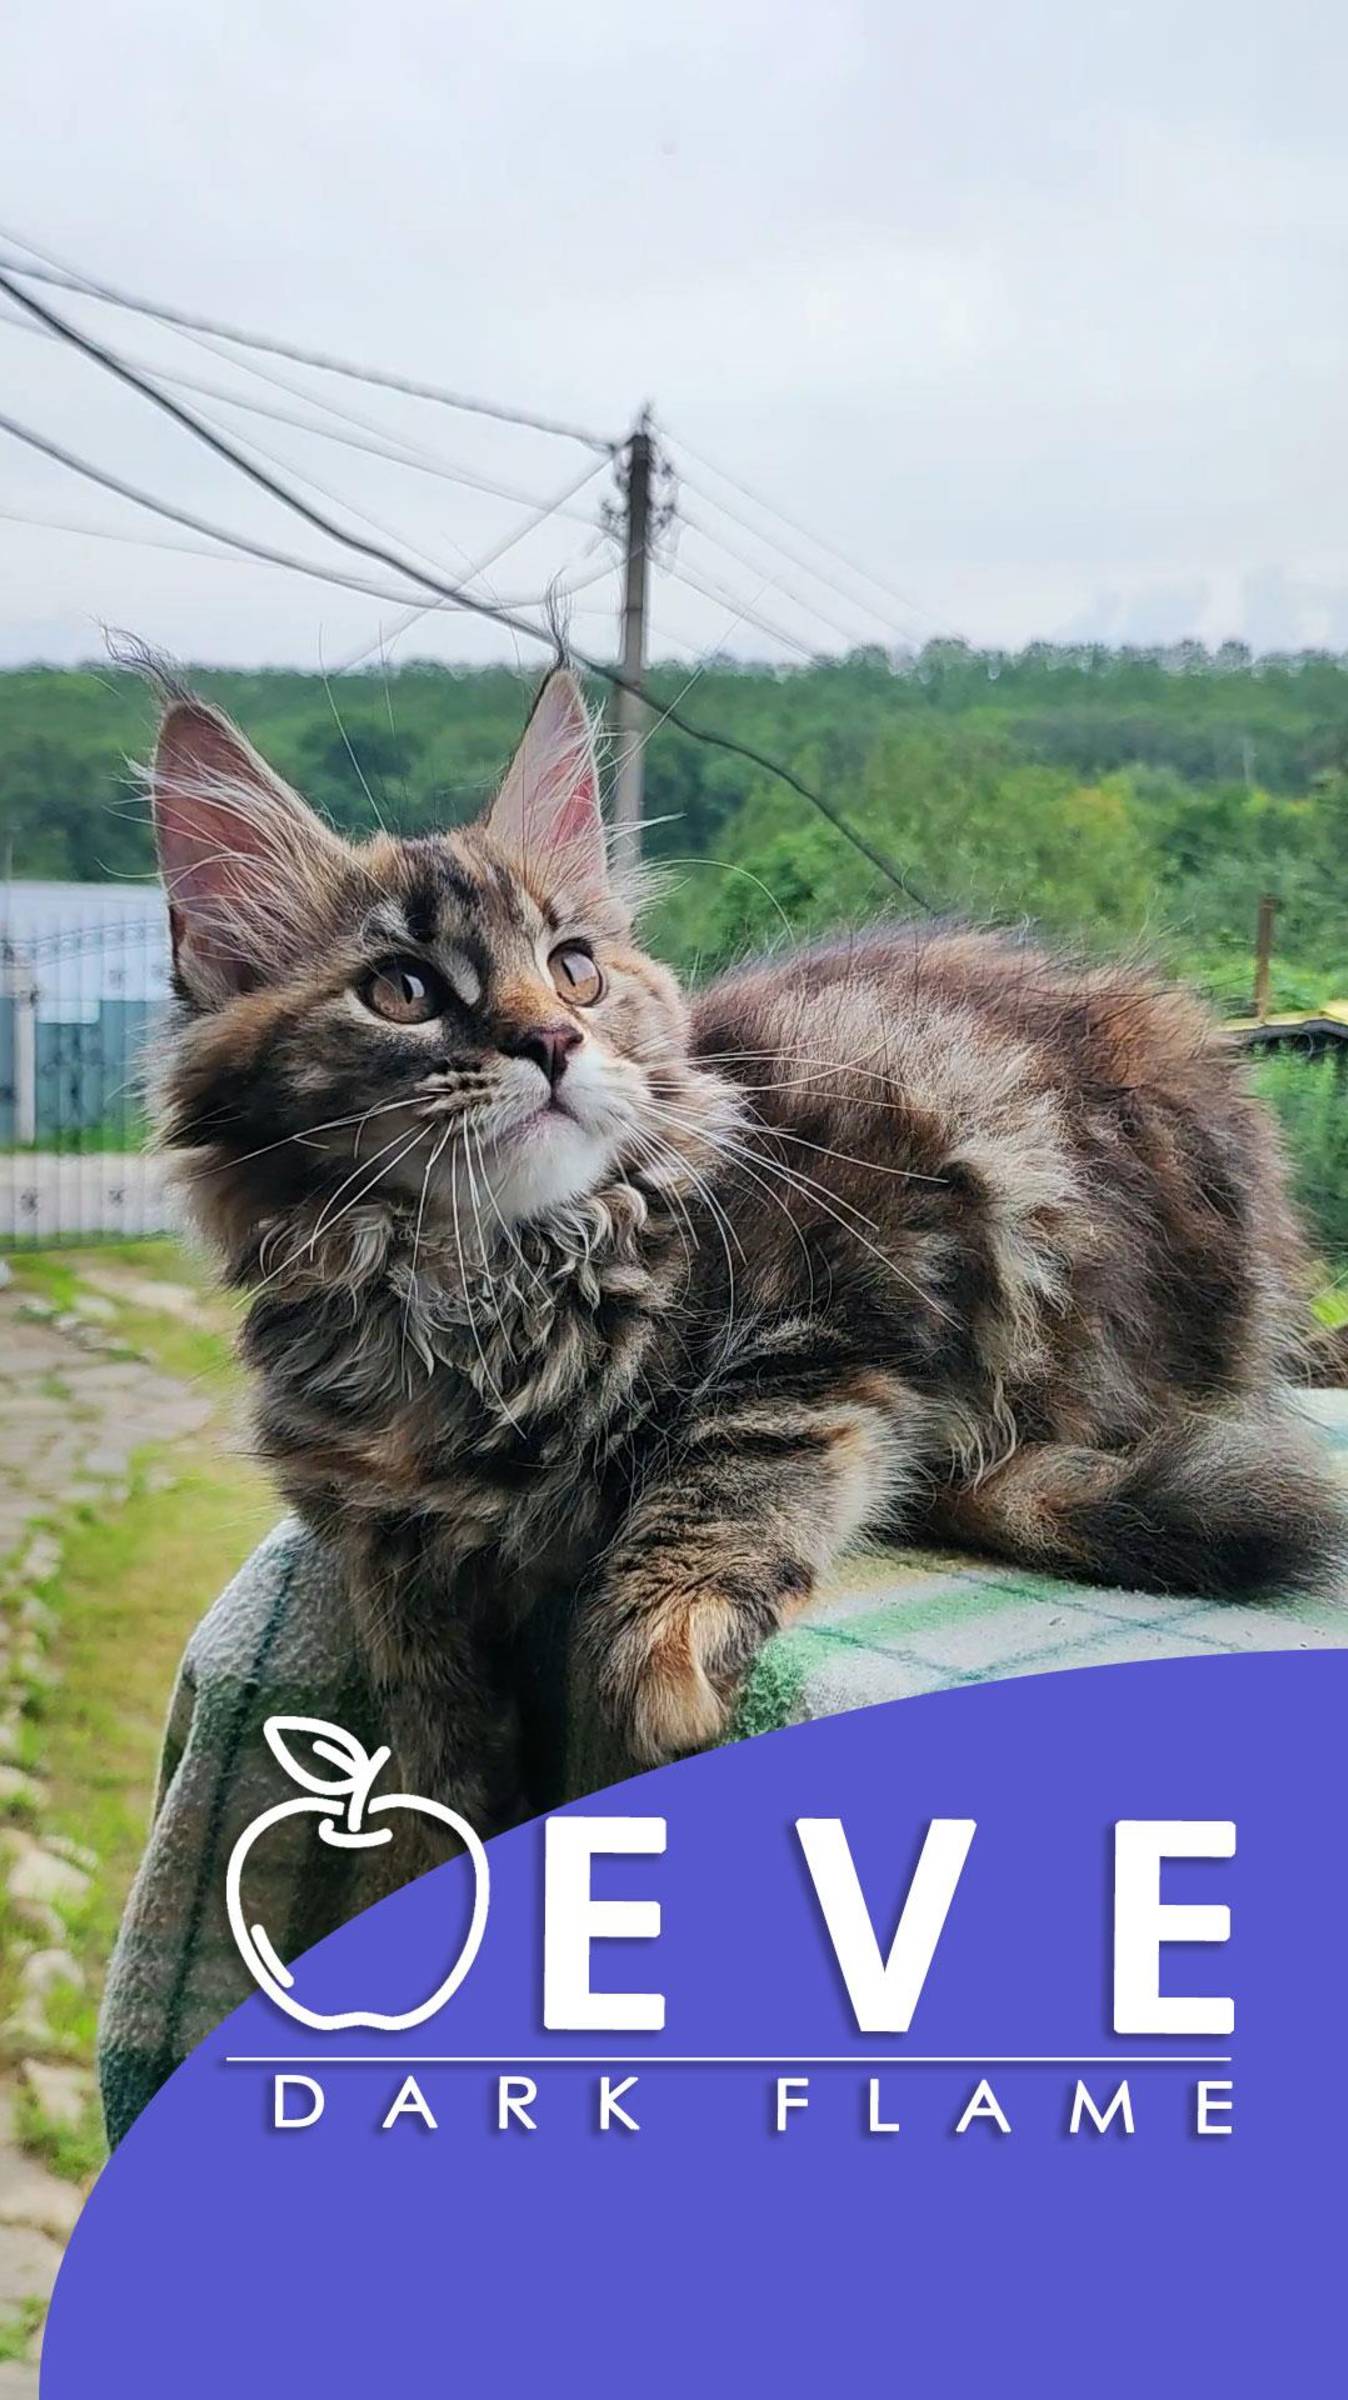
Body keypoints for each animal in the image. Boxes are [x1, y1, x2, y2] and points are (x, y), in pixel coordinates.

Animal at [151, 667, 1346, 1839]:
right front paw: (443, 1801)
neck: (482, 1285)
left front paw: (656, 1645)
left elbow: (741, 1441)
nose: (553, 1041)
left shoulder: (871, 1268)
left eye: (575, 971)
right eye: (402, 991)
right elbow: (415, 1662)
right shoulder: (368, 1521)